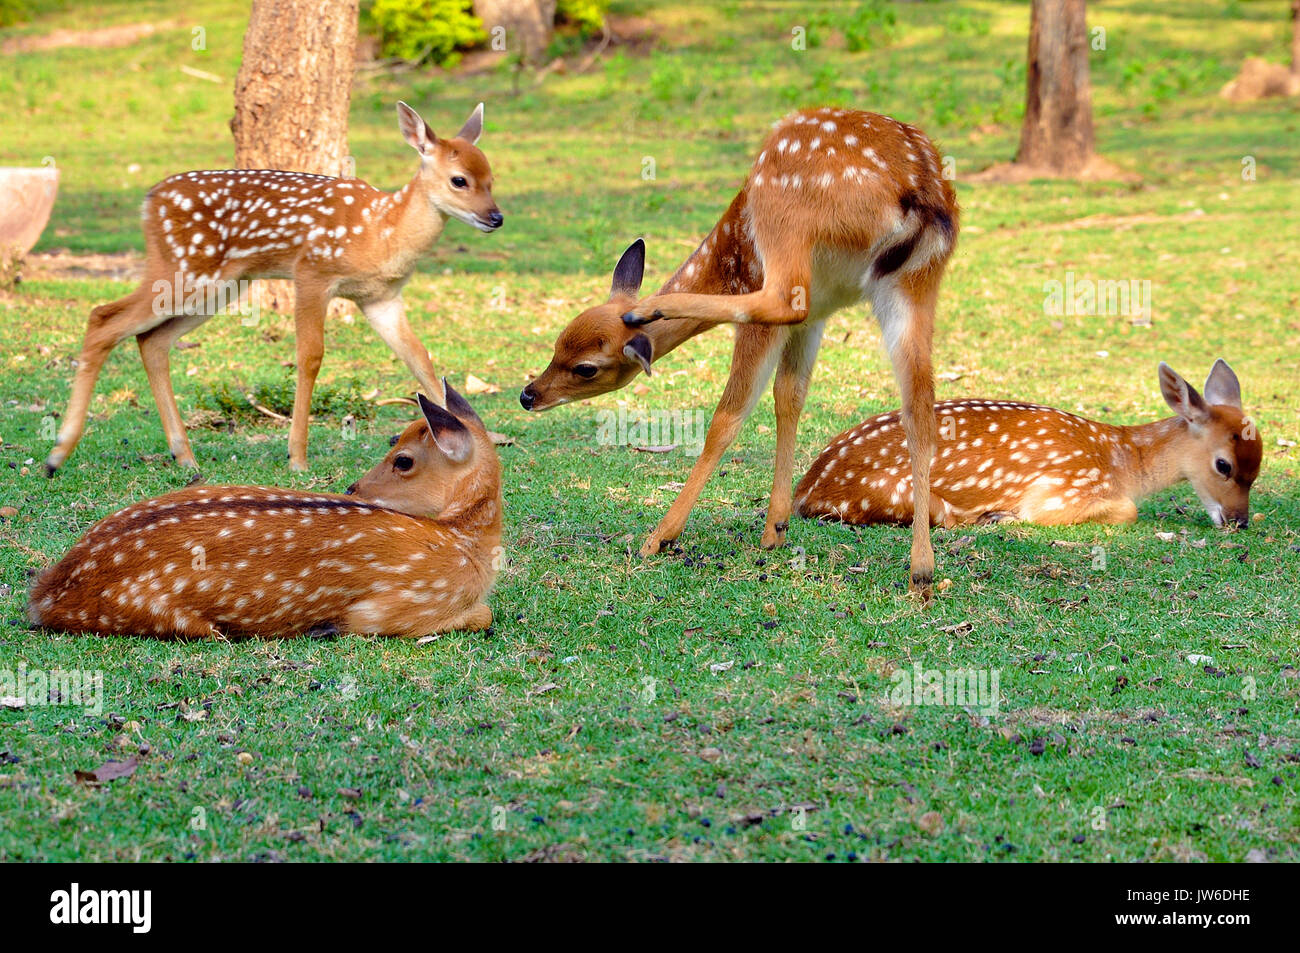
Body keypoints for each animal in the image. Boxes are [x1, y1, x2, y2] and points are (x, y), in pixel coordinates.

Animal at [28, 382, 502, 639]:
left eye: (403, 459)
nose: (353, 488)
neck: (464, 545)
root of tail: (45, 594)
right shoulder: (399, 605)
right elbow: (484, 614)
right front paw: (327, 626)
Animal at [44, 101, 503, 477]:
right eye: (459, 180)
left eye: (491, 178)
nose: (496, 218)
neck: (382, 232)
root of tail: (148, 203)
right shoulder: (312, 271)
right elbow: (311, 357)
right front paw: (297, 457)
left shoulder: (380, 298)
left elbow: (420, 359)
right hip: (182, 269)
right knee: (103, 317)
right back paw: (57, 454)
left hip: (221, 286)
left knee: (151, 340)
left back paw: (184, 457)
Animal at [519, 107, 958, 594]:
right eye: (557, 342)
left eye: (586, 368)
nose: (528, 395)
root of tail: (920, 190)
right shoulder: (817, 316)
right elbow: (790, 395)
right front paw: (775, 529)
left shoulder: (771, 302)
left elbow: (728, 417)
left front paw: (661, 538)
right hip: (915, 282)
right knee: (920, 408)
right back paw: (922, 569)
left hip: (785, 218)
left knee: (779, 299)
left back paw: (651, 310)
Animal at [794, 360, 1262, 530]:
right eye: (1224, 465)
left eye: (1257, 470)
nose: (1239, 521)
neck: (1123, 459)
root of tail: (807, 491)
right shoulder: (1062, 490)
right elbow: (1127, 510)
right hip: (905, 493)